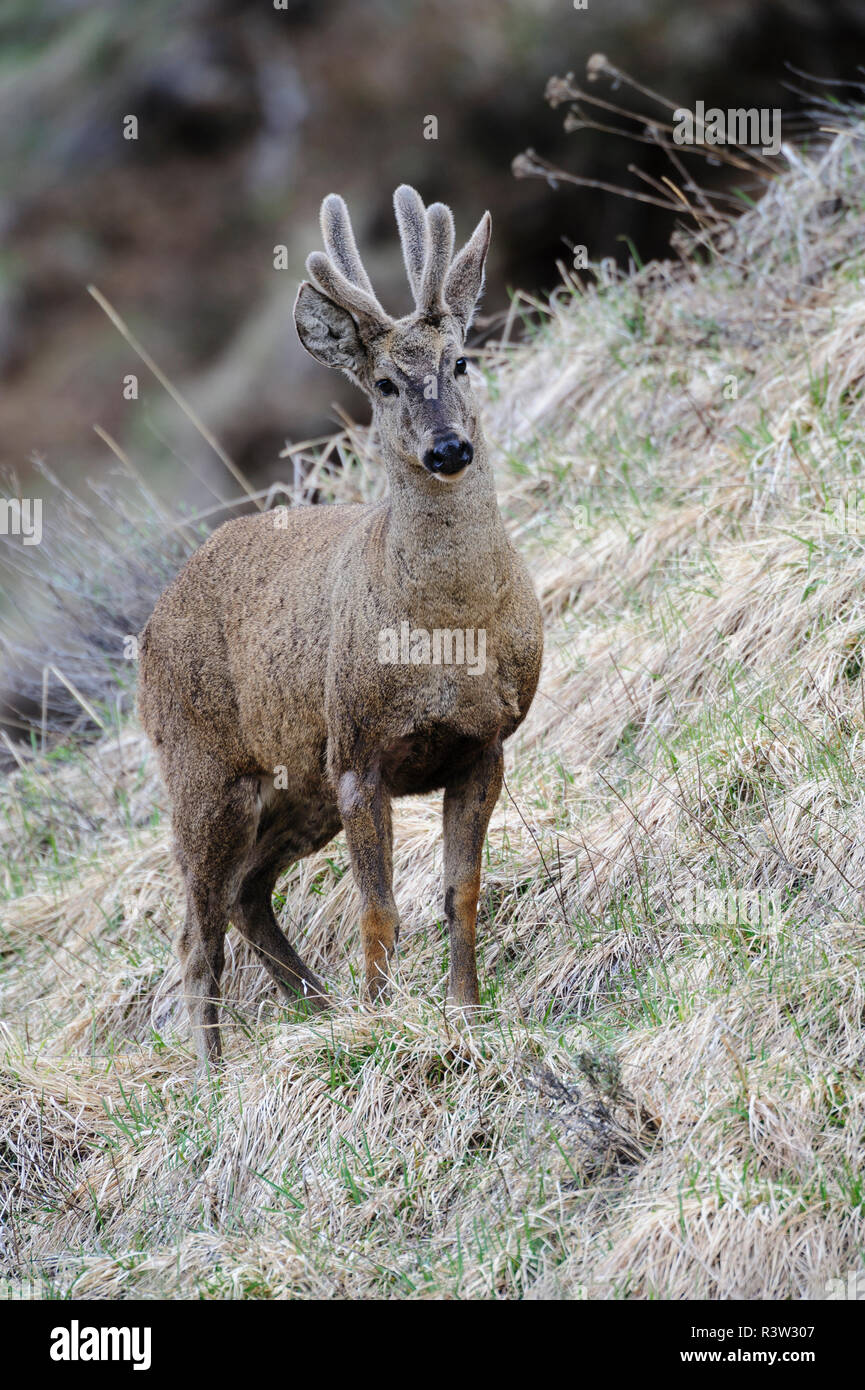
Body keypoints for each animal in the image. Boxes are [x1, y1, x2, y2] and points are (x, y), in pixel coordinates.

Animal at [137, 185, 543, 1068]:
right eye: (385, 383)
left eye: (461, 360)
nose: (449, 448)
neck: (447, 631)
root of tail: (150, 623)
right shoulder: (359, 748)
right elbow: (378, 909)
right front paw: (384, 1024)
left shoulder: (483, 744)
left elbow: (461, 892)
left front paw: (467, 1017)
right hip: (202, 767)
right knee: (195, 931)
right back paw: (213, 1075)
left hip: (298, 782)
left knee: (246, 894)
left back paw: (317, 1012)